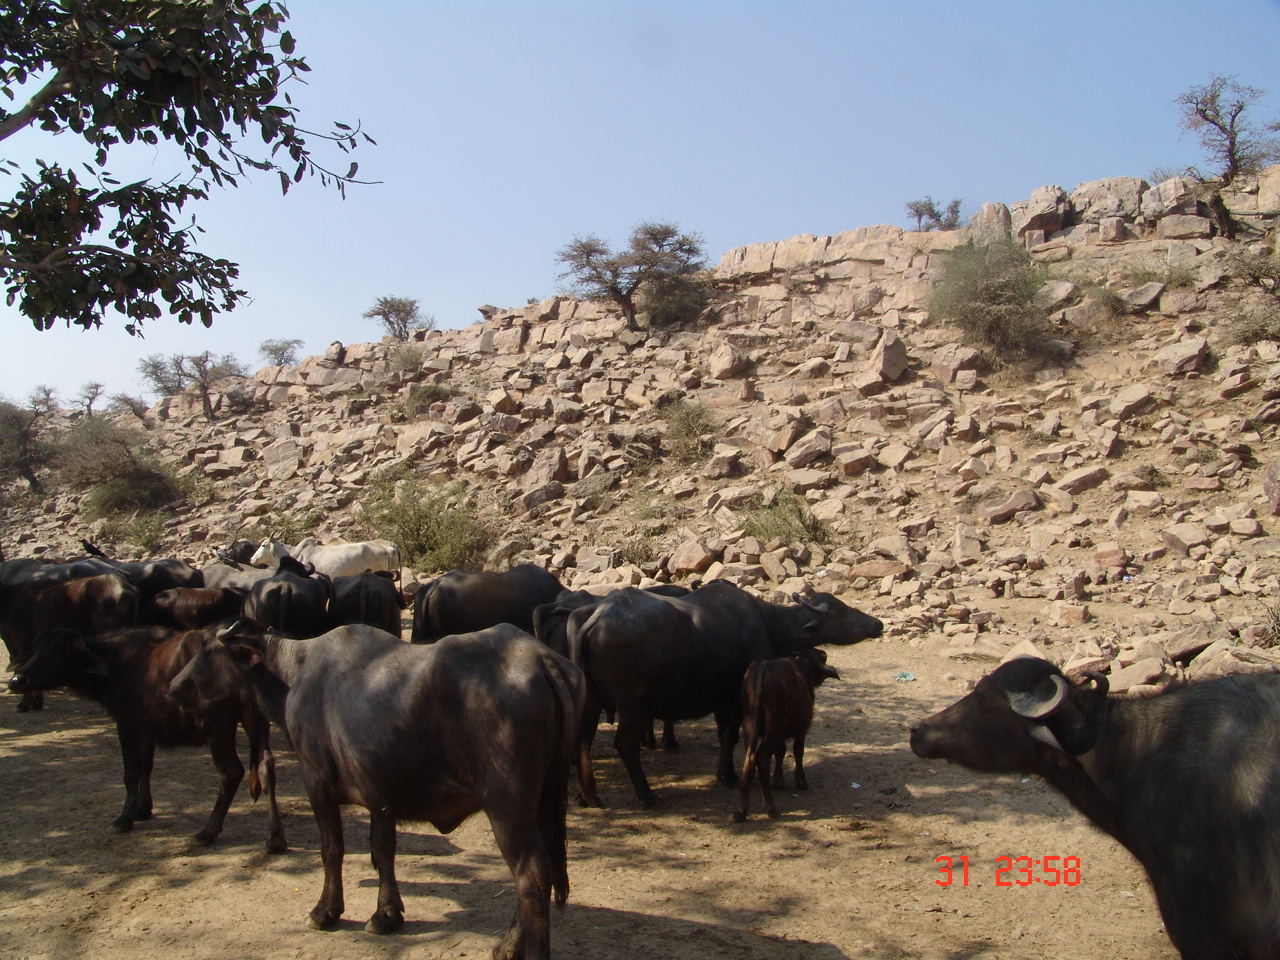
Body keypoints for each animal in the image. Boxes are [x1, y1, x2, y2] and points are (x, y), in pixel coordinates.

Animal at [8, 626, 284, 852]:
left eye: (60, 650)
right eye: (36, 649)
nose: (17, 679)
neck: (117, 664)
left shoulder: (126, 724)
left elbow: (131, 772)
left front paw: (124, 818)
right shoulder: (146, 728)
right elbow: (145, 767)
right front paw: (143, 808)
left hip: (217, 726)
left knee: (230, 772)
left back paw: (207, 832)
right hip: (256, 720)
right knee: (265, 766)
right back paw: (274, 837)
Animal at [169, 620, 585, 958]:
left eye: (206, 647)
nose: (173, 688)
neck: (294, 674)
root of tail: (541, 659)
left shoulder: (316, 780)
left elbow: (332, 849)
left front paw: (326, 910)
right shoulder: (381, 793)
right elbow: (382, 852)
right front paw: (386, 915)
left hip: (507, 807)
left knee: (531, 872)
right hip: (544, 800)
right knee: (541, 868)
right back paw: (508, 944)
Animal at [734, 647, 840, 822]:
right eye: (821, 659)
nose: (823, 653)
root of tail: (763, 667)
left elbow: (780, 752)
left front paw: (778, 780)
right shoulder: (801, 729)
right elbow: (798, 751)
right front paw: (800, 781)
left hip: (750, 724)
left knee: (750, 757)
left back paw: (741, 810)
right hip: (774, 726)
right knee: (762, 757)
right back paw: (770, 808)